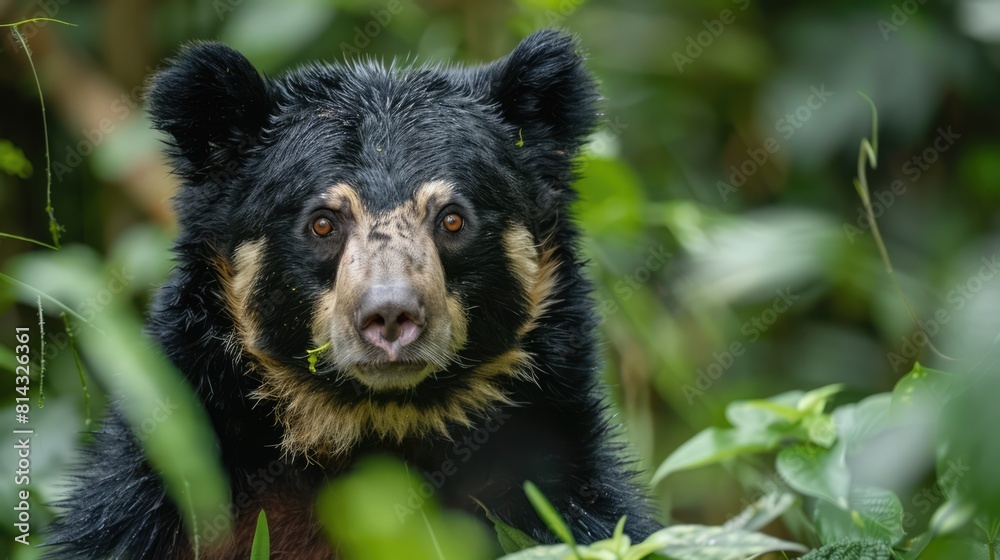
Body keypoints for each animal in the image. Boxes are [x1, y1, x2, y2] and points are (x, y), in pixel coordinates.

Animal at [45, 29, 659, 559]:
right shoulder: (156, 500)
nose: (389, 316)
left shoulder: (556, 490)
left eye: (453, 219)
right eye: (323, 223)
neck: (366, 426)